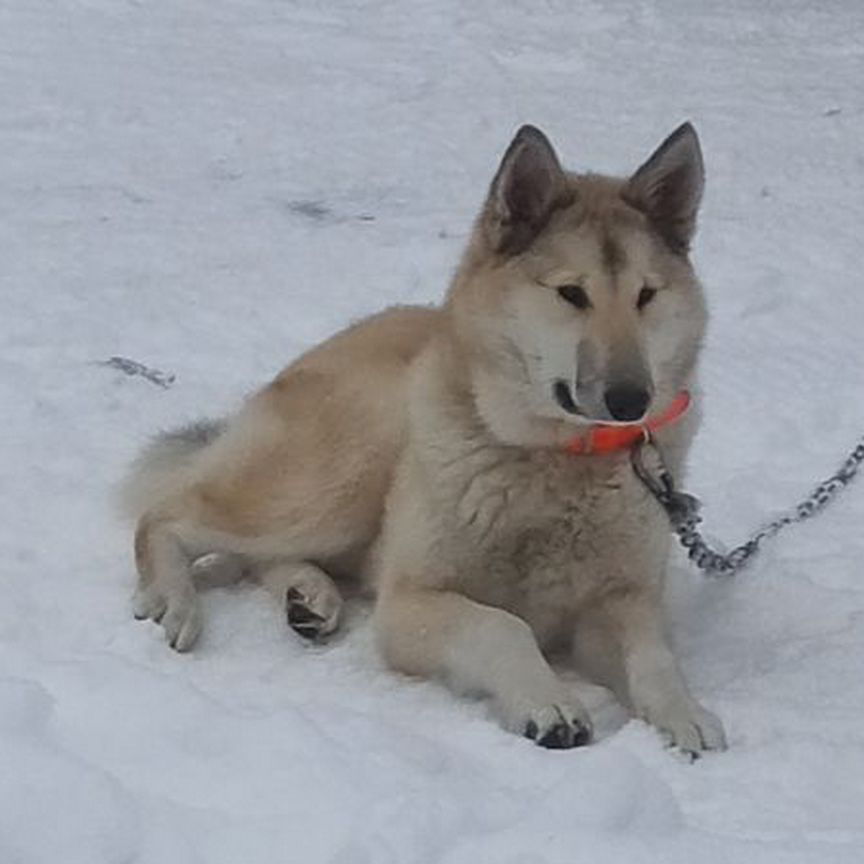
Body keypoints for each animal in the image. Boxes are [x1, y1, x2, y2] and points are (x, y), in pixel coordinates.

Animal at [123, 120, 728, 748]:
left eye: (646, 295)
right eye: (571, 294)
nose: (632, 399)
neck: (556, 460)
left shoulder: (618, 604)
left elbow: (654, 657)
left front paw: (684, 714)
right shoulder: (410, 605)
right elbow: (502, 625)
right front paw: (548, 700)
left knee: (257, 557)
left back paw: (309, 597)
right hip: (344, 475)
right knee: (167, 519)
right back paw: (180, 599)